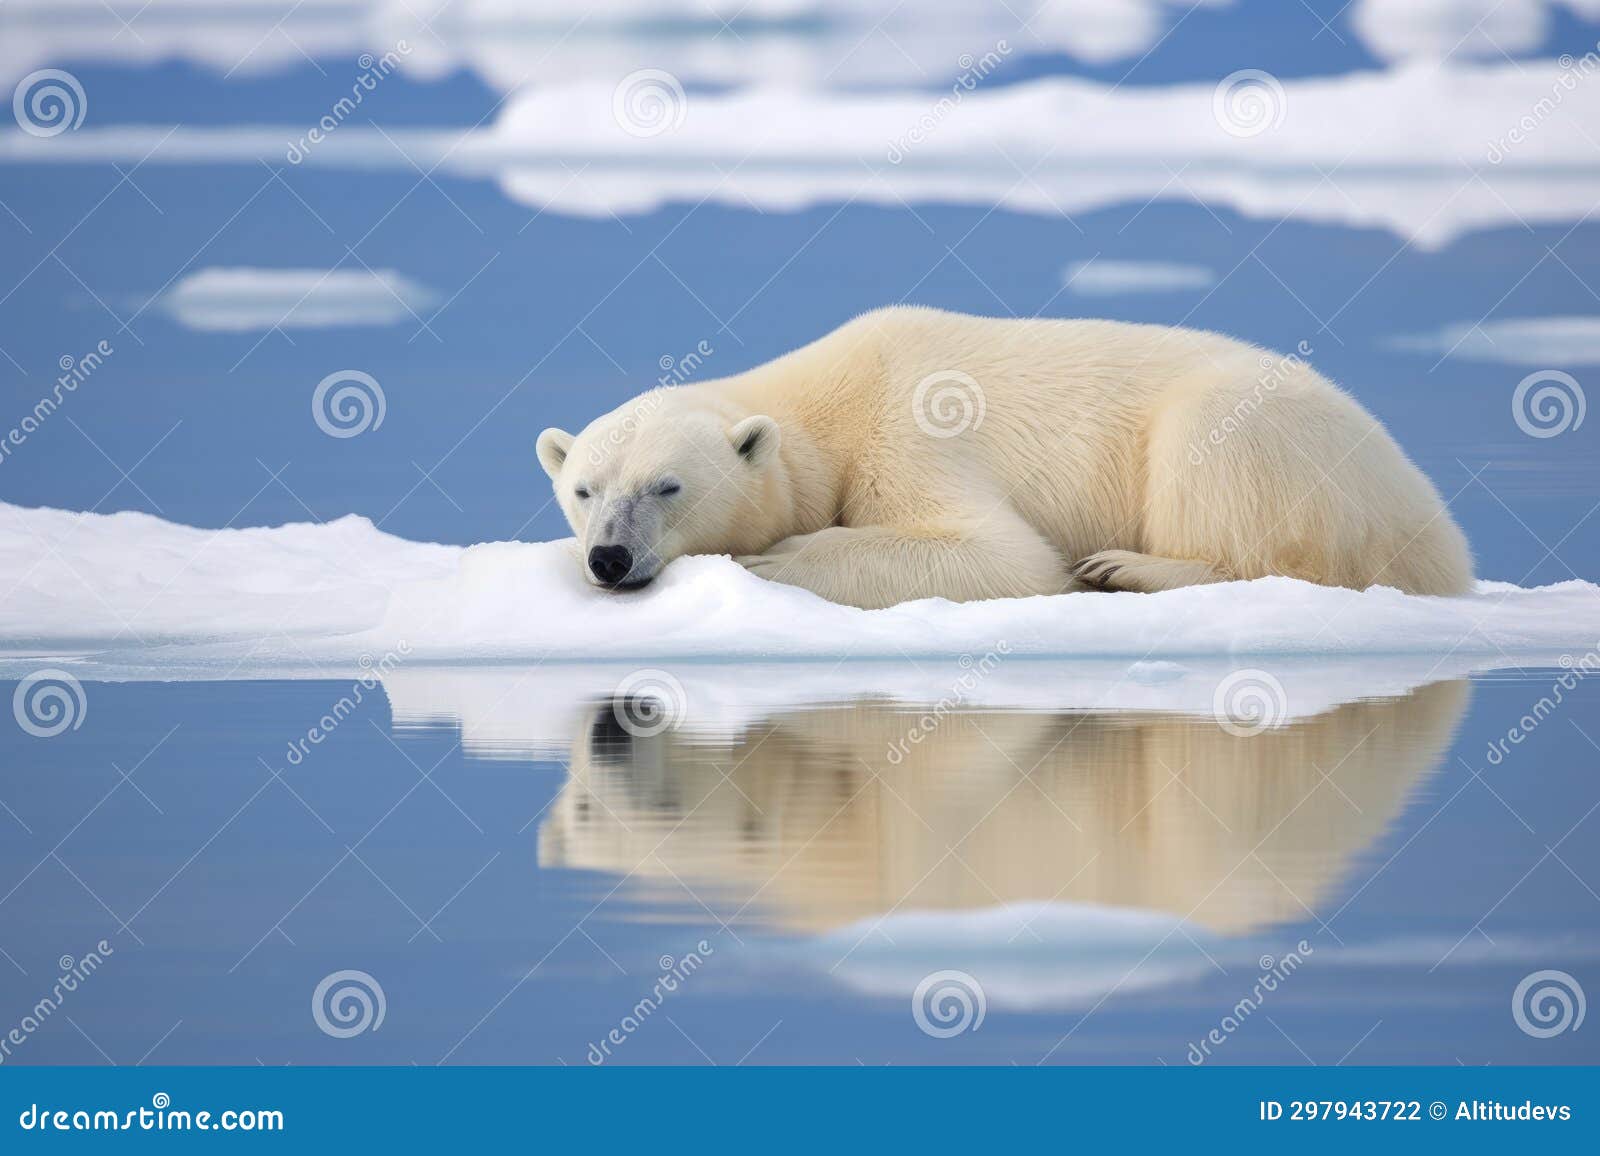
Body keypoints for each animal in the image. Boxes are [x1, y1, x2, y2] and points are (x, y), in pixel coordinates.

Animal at [536, 306, 1473, 609]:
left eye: (667, 486)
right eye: (583, 490)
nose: (609, 558)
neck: (829, 397)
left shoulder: (907, 433)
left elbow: (1001, 556)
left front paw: (784, 554)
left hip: (1268, 435)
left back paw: (1128, 568)